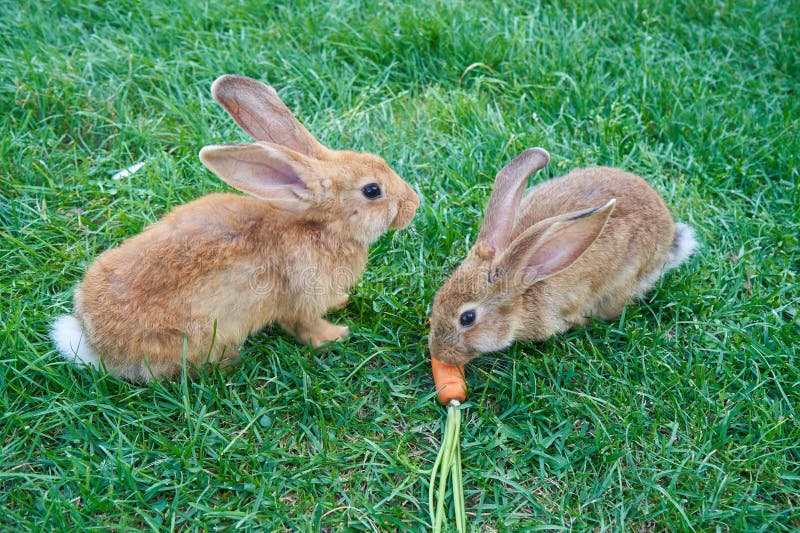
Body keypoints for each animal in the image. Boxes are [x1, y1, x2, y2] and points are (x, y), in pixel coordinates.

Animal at [51, 74, 420, 382]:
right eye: (372, 191)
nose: (414, 204)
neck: (320, 227)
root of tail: (95, 343)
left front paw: (341, 303)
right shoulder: (303, 298)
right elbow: (304, 327)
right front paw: (335, 336)